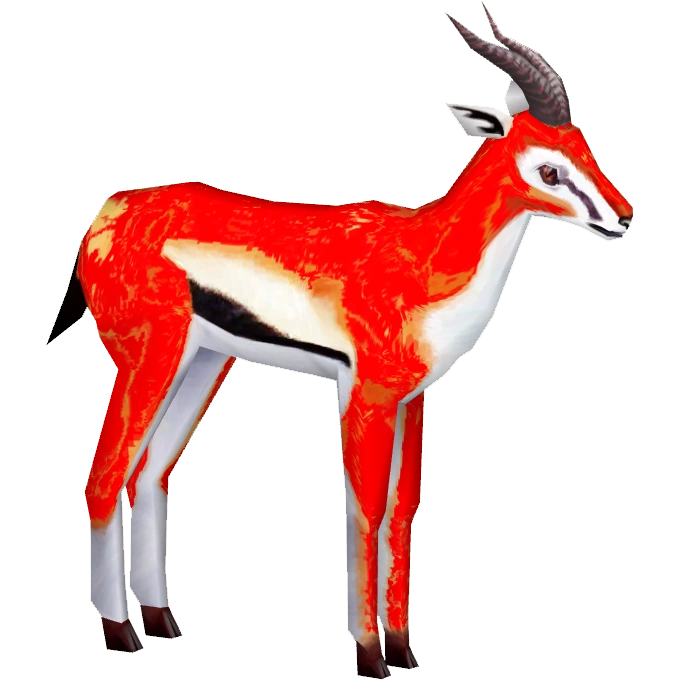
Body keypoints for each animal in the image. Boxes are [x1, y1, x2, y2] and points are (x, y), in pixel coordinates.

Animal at [45, 5, 634, 678]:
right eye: (548, 168)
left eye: (582, 143)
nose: (626, 216)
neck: (422, 256)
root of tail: (108, 211)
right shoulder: (366, 396)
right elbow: (367, 509)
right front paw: (370, 654)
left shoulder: (412, 401)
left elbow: (404, 509)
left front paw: (405, 650)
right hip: (150, 359)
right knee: (105, 476)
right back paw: (121, 634)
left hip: (204, 364)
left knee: (149, 476)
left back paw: (163, 622)